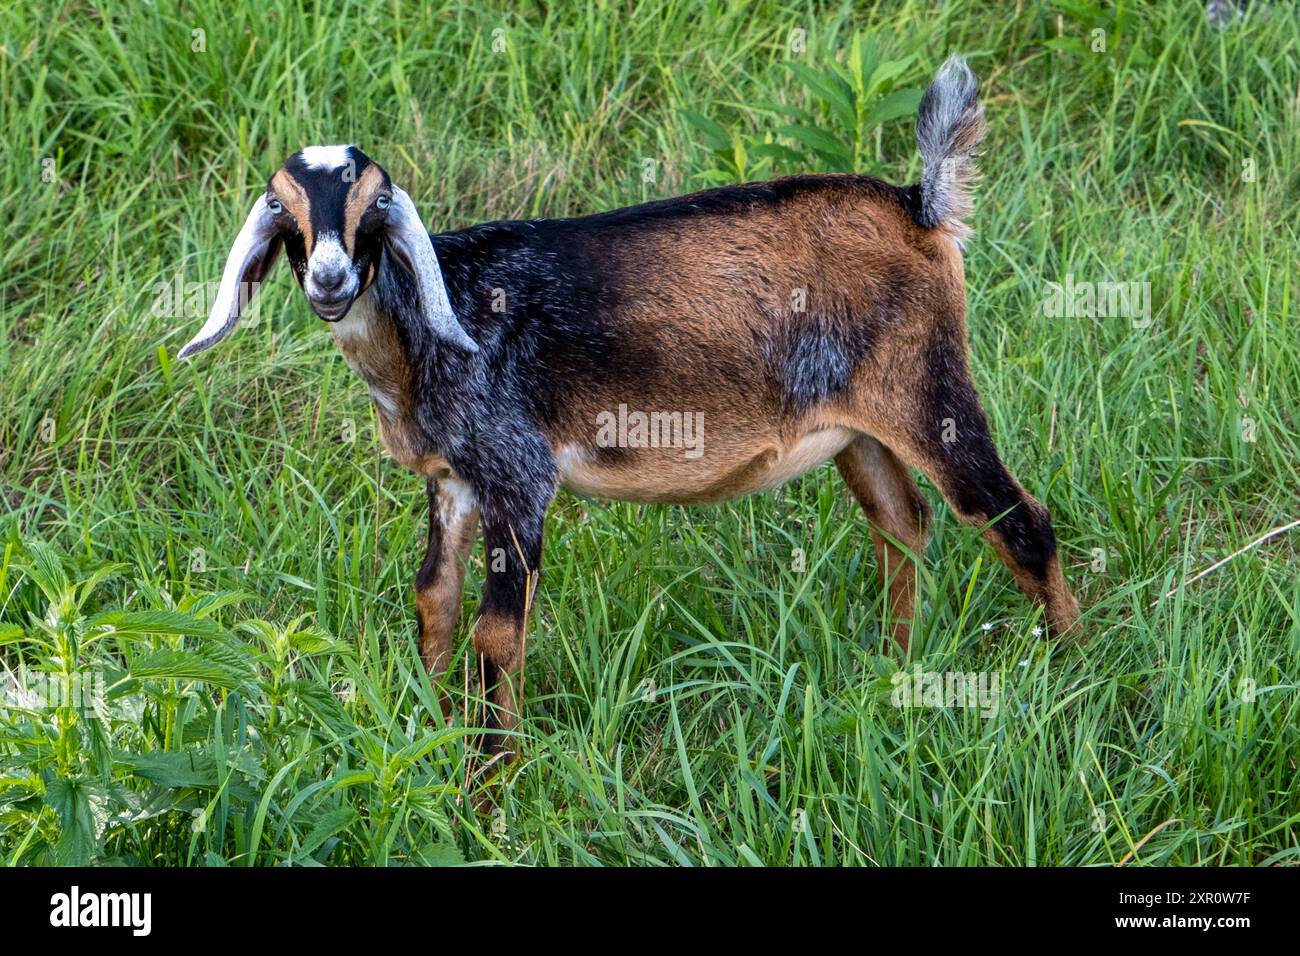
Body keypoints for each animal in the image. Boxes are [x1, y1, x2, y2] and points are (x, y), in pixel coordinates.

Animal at [180, 58, 1080, 755]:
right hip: (857, 427)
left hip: (928, 388)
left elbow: (496, 634)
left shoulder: (519, 474)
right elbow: (433, 598)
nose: (330, 280)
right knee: (903, 523)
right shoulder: (455, 477)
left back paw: (1071, 668)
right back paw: (891, 671)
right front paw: (426, 738)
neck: (444, 319)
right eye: (286, 211)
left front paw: (490, 787)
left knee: (1016, 520)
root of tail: (918, 205)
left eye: (372, 209)